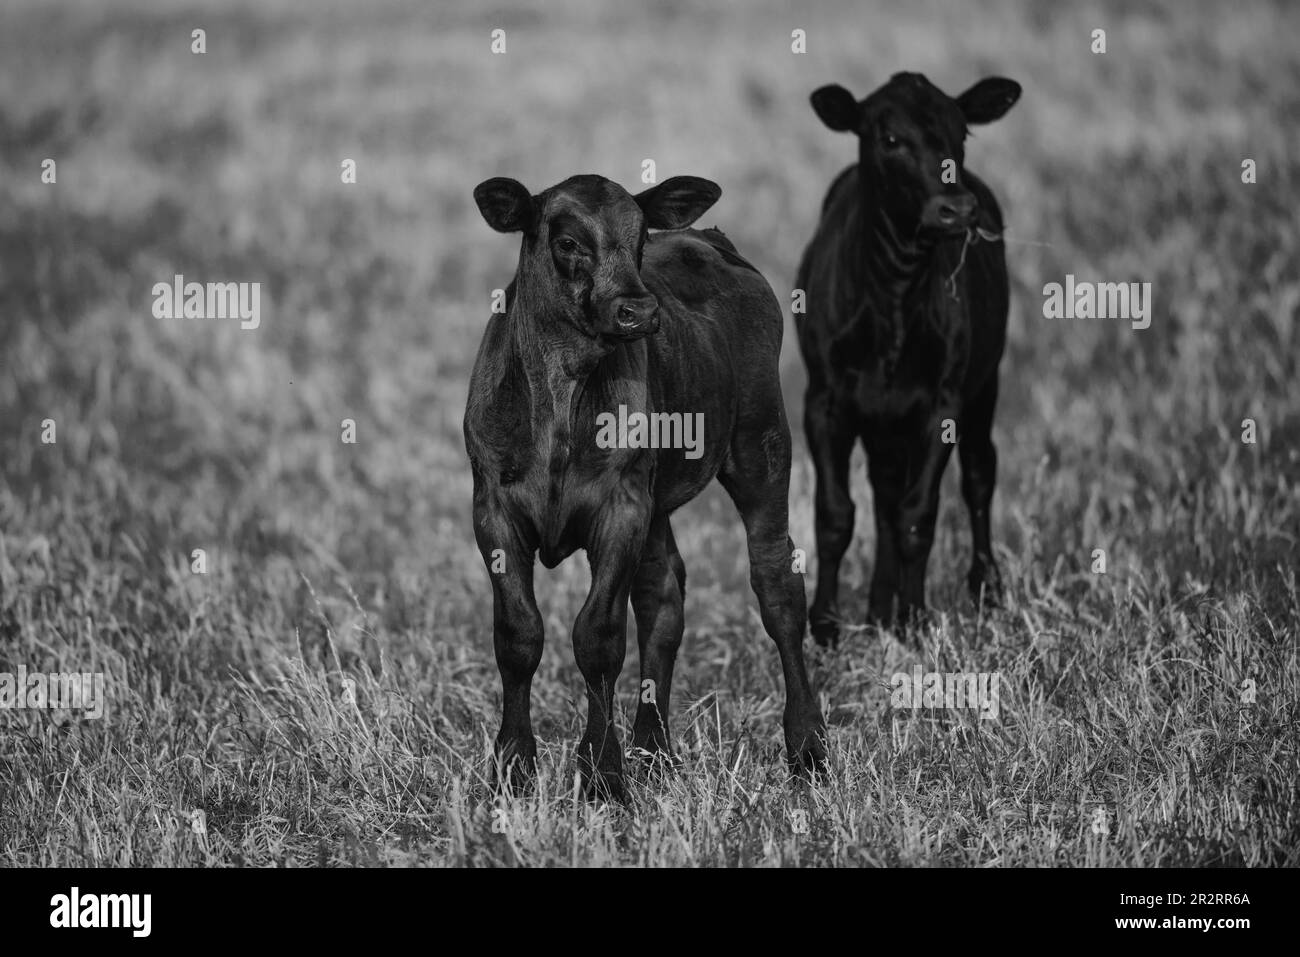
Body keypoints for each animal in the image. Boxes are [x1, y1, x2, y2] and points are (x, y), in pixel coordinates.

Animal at [466, 173, 827, 799]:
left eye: (639, 237)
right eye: (567, 242)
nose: (638, 311)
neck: (562, 392)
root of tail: (709, 237)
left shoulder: (621, 508)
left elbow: (599, 637)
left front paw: (601, 772)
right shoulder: (493, 509)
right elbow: (517, 636)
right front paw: (512, 765)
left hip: (762, 441)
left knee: (777, 584)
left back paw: (807, 747)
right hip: (658, 504)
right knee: (663, 598)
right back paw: (654, 749)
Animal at [796, 72, 1021, 644]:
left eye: (962, 133)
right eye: (890, 138)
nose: (956, 209)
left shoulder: (943, 403)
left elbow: (919, 516)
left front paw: (915, 619)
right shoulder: (823, 400)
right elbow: (834, 515)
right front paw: (825, 623)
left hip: (985, 383)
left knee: (978, 474)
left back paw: (985, 586)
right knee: (883, 494)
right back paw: (878, 607)